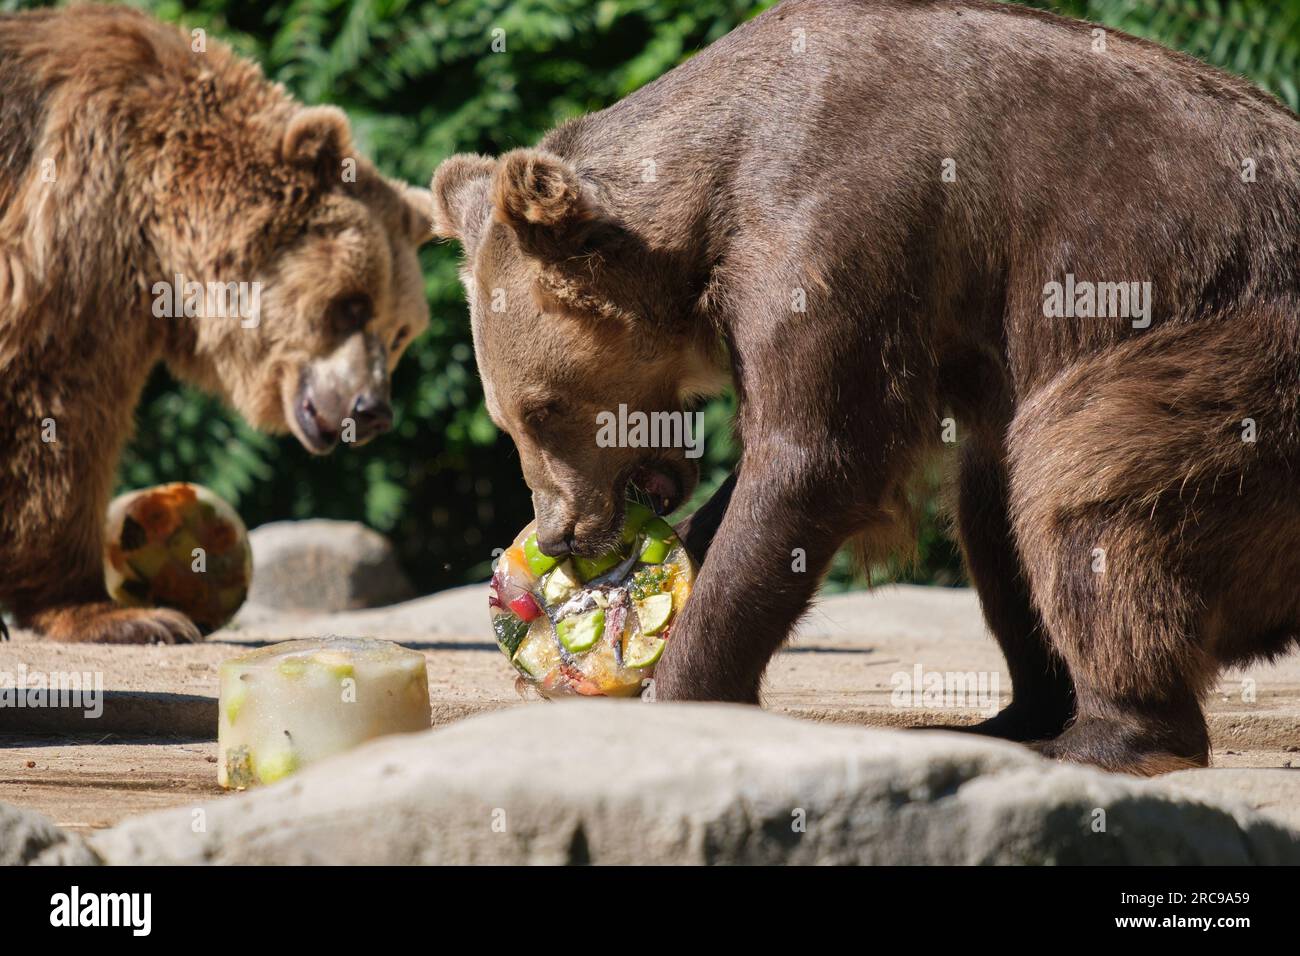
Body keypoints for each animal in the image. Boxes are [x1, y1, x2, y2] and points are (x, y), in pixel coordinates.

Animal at [0, 6, 433, 644]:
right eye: (352, 303)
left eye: (400, 331)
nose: (372, 408)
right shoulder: (73, 217)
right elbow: (60, 407)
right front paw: (119, 613)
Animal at [431, 0, 1300, 775]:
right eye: (507, 419)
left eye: (542, 409)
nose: (561, 533)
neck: (710, 203)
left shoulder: (838, 230)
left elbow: (817, 457)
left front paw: (680, 685)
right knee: (992, 509)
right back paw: (1014, 716)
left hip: (1228, 347)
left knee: (1083, 476)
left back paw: (1103, 737)